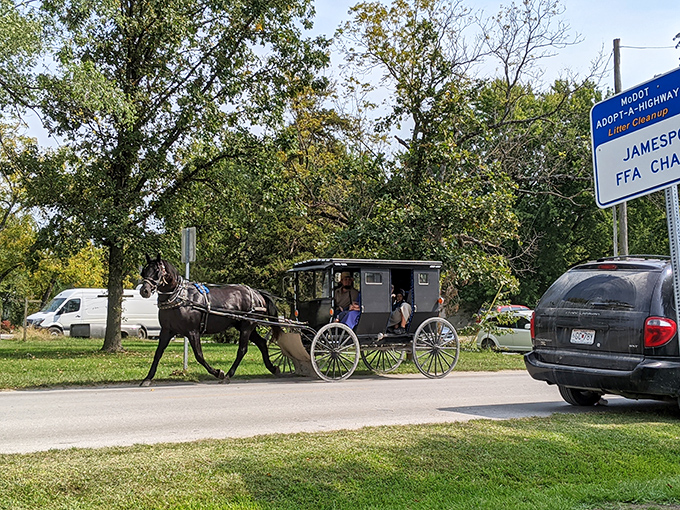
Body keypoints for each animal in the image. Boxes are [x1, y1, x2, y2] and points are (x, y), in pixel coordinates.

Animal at [138, 254, 281, 386]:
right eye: (144, 271)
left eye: (157, 271)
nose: (144, 290)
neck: (180, 297)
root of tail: (257, 293)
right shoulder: (166, 331)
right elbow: (158, 353)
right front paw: (147, 378)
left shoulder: (192, 331)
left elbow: (199, 355)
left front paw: (218, 372)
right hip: (244, 326)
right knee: (262, 343)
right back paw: (272, 368)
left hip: (247, 325)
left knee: (242, 349)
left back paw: (228, 375)